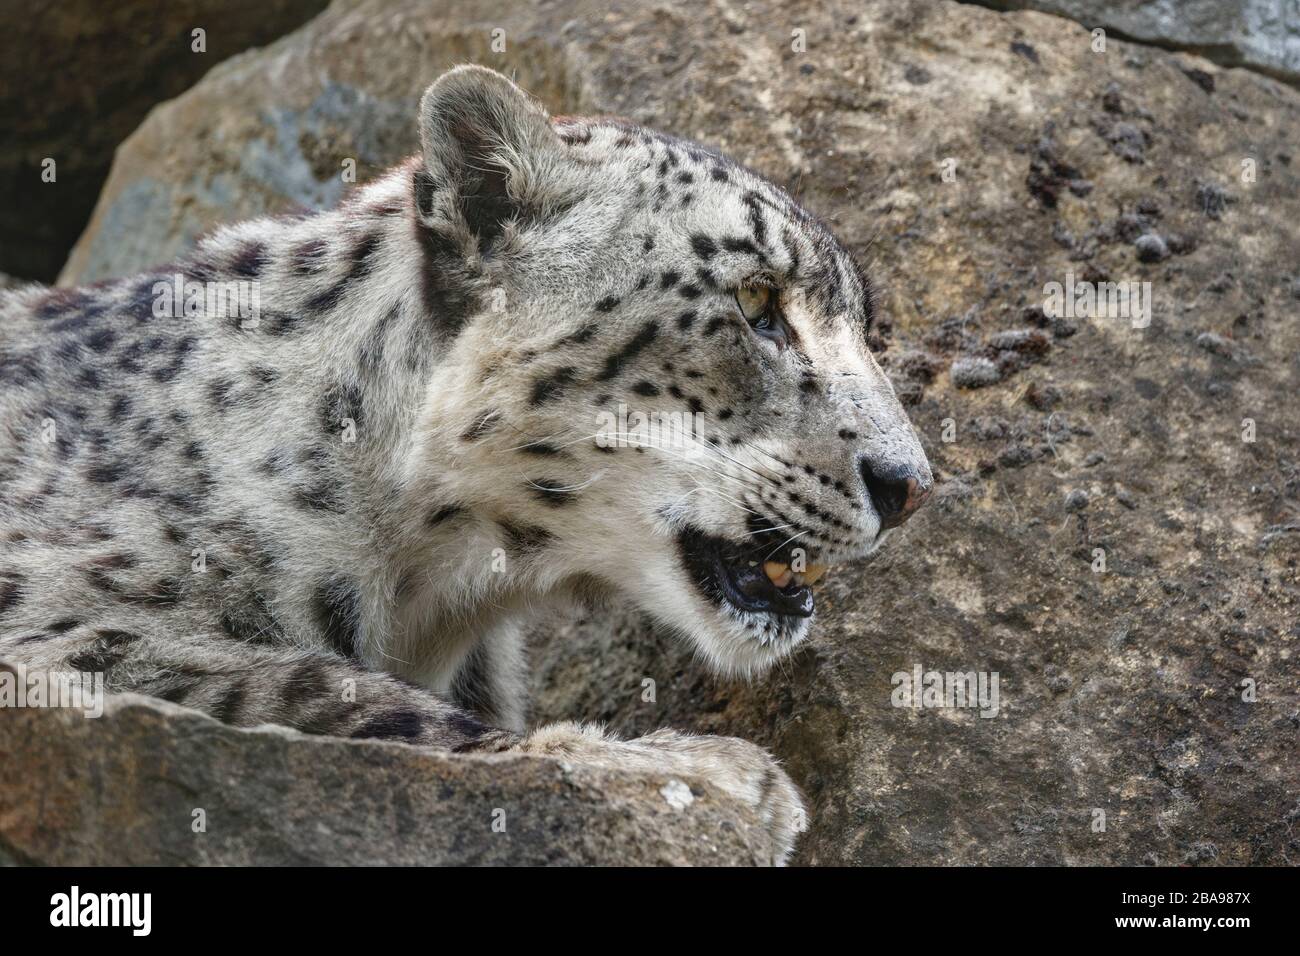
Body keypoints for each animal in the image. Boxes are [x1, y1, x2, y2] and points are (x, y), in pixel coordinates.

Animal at [0, 65, 932, 865]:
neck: (436, 600)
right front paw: (704, 777)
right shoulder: (52, 618)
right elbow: (307, 683)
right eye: (756, 304)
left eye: (864, 322)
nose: (911, 485)